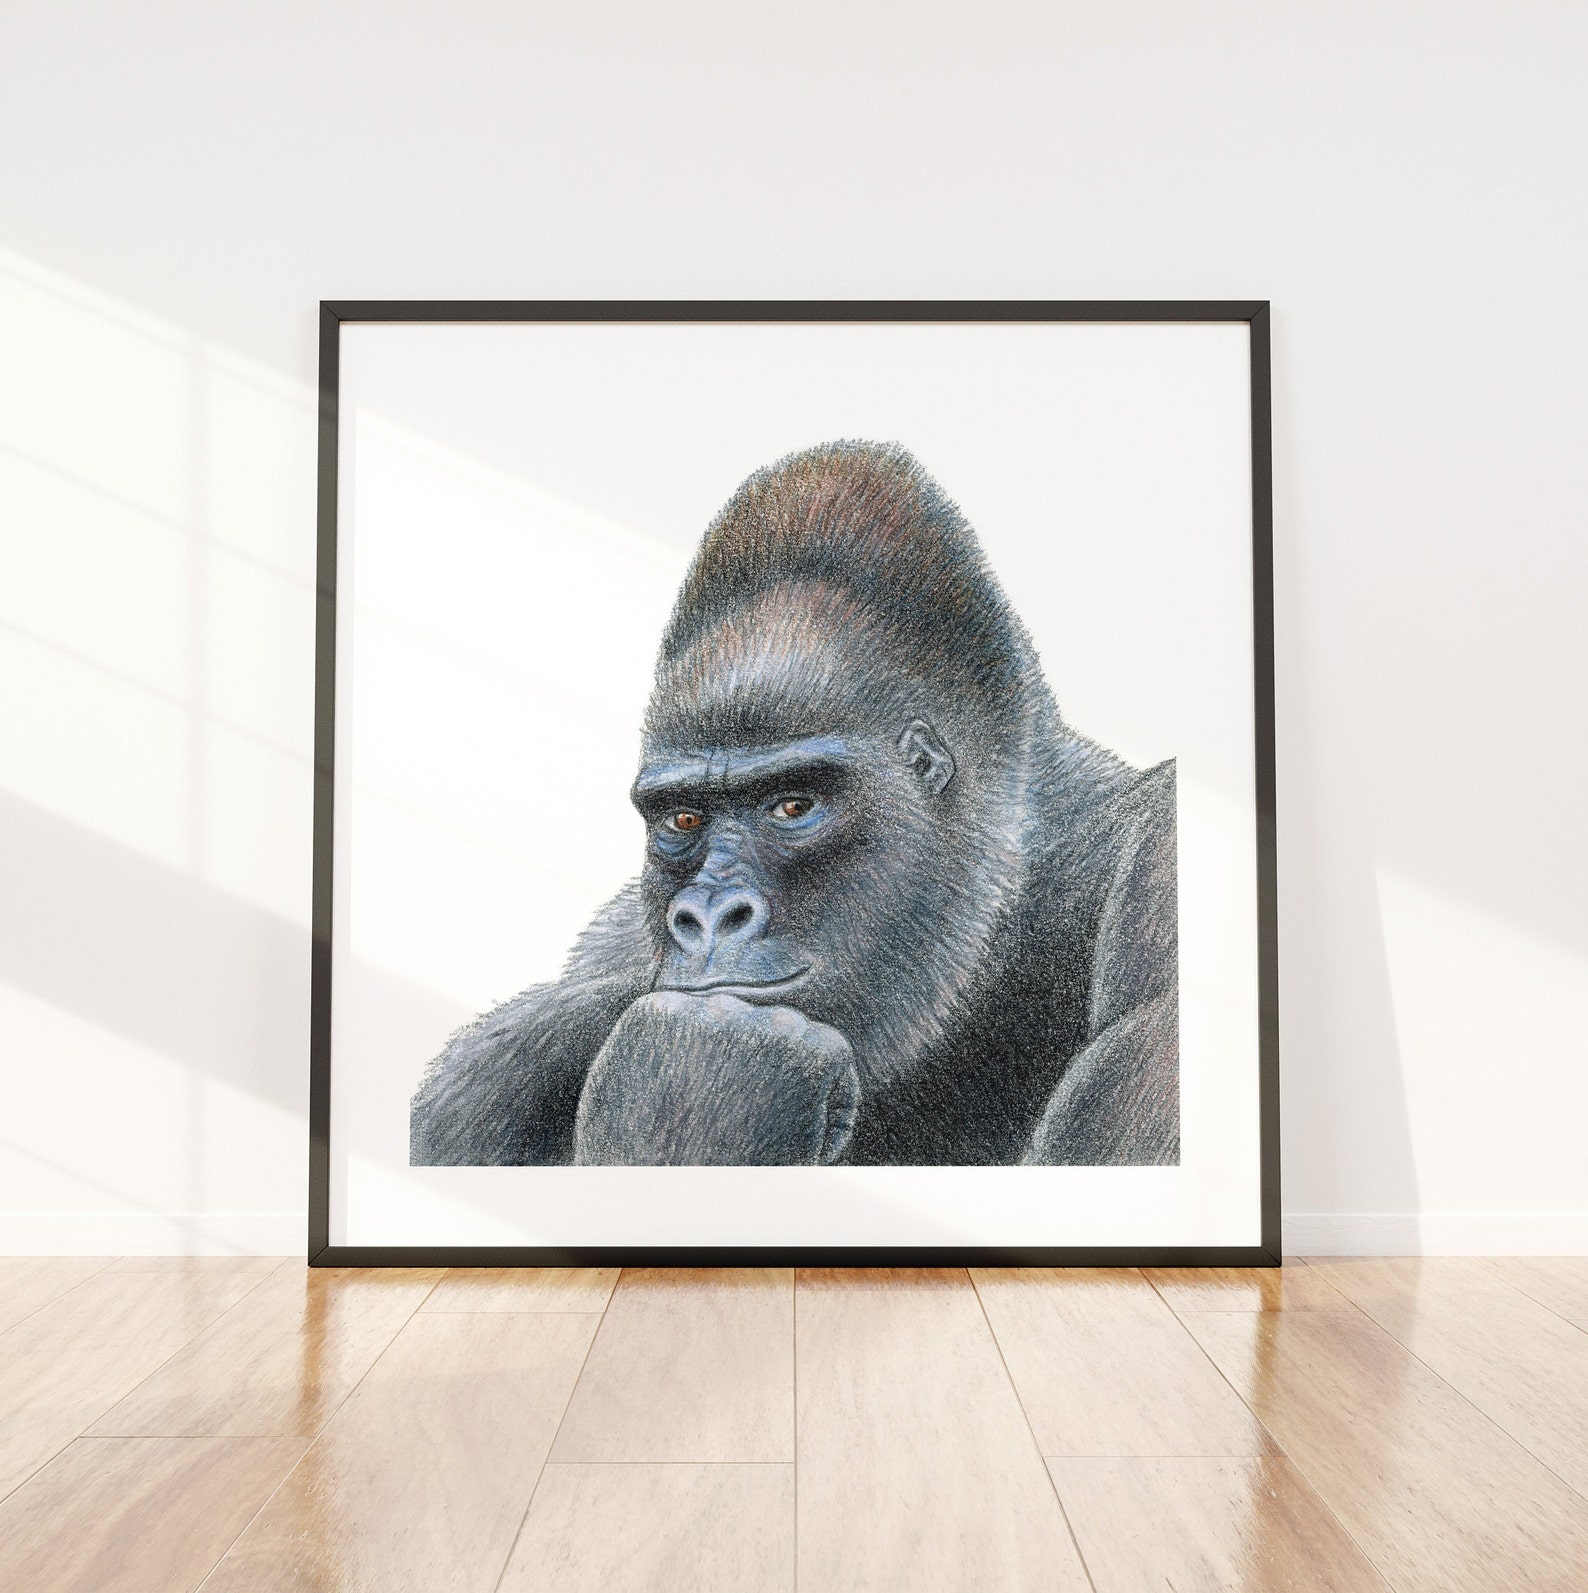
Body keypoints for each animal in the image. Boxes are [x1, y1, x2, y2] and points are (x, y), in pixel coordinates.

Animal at [410, 441, 1178, 1167]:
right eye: (683, 818)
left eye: (793, 807)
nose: (707, 915)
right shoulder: (551, 1003)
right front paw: (705, 1072)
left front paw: (704, 1075)